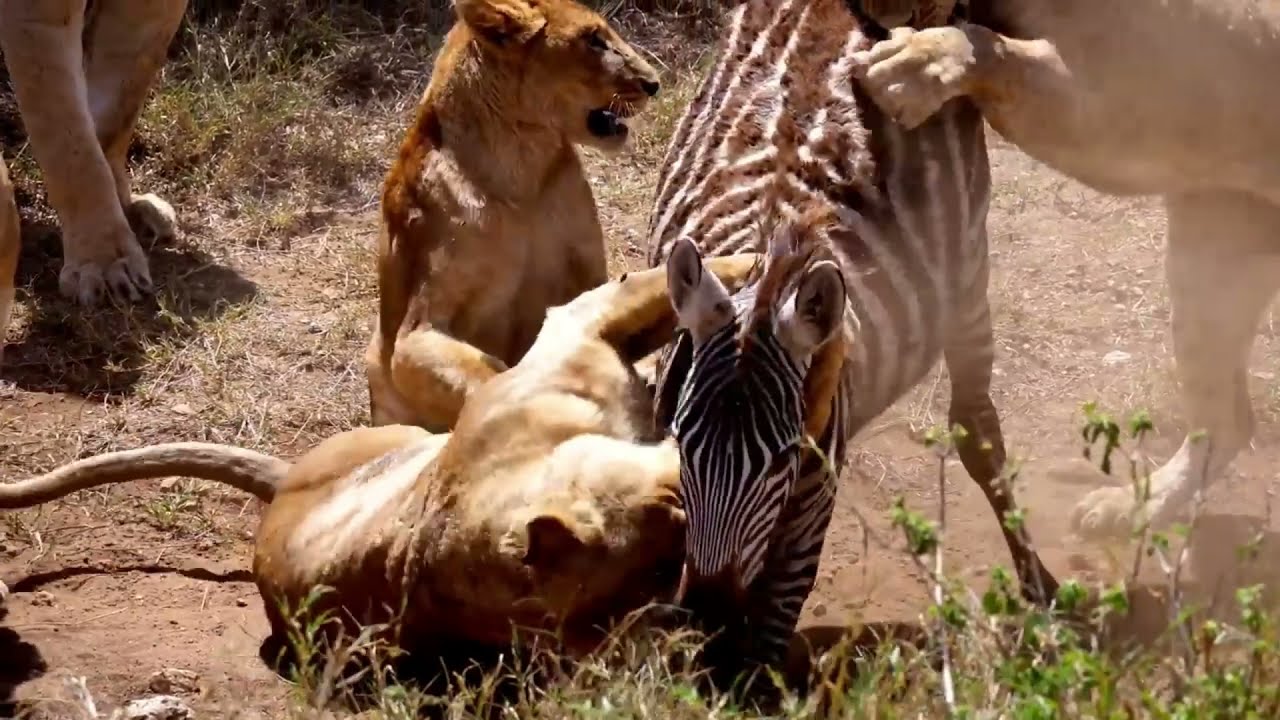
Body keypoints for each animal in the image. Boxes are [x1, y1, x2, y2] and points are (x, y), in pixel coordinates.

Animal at [0, 254, 763, 675]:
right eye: (663, 558)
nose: (703, 600)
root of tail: (284, 478)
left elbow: (645, 294)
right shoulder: (571, 331)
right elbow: (642, 290)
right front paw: (745, 264)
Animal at [367, 0, 662, 432]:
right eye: (592, 39)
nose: (654, 83)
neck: (524, 163)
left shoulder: (588, 273)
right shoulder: (415, 333)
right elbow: (488, 379)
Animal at [645, 0, 1059, 675]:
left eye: (785, 456)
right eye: (683, 443)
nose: (706, 613)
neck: (770, 267)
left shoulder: (811, 505)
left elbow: (764, 652)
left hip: (968, 278)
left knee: (977, 430)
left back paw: (1036, 582)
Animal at [851, 1, 1280, 554]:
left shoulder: (1128, 113)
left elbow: (991, 49)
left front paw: (917, 62)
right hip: (1213, 254)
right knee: (1227, 420)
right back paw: (1131, 508)